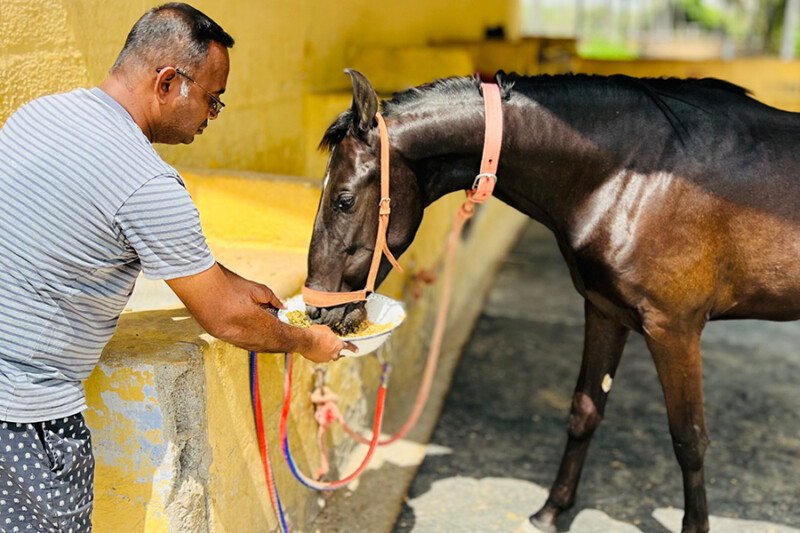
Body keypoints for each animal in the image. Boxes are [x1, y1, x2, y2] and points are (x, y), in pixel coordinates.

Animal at [302, 69, 800, 533]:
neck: (638, 175)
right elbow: (584, 412)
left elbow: (689, 439)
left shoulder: (674, 328)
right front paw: (550, 511)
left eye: (344, 200)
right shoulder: (604, 311)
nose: (317, 310)